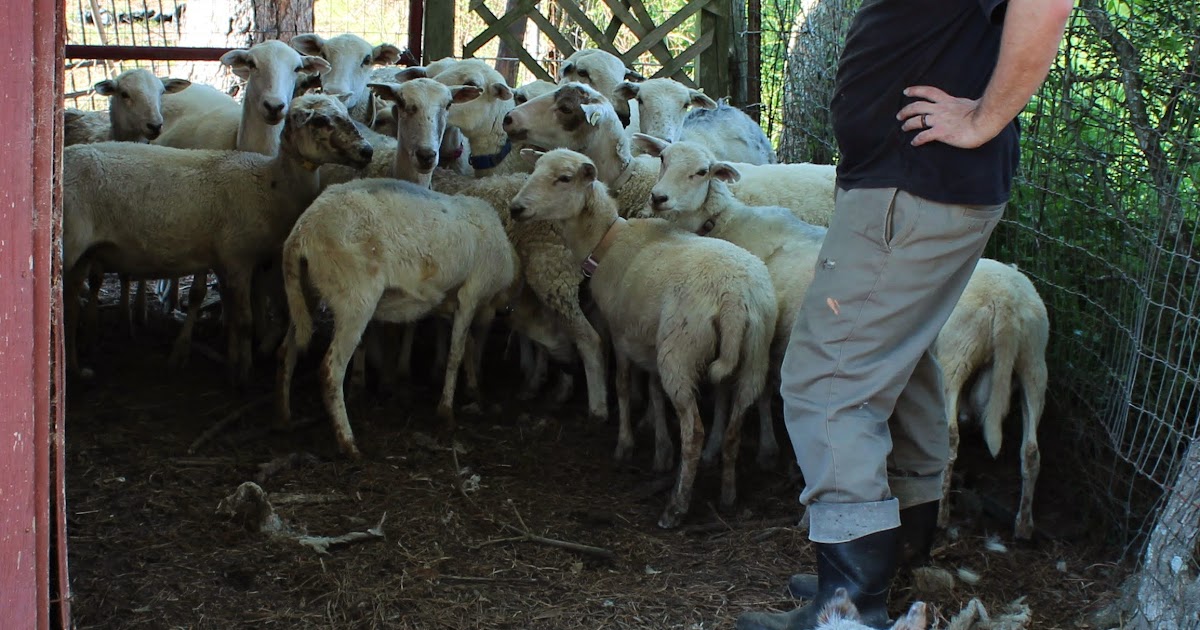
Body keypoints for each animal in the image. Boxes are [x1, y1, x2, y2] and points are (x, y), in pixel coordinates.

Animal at [62, 94, 374, 384]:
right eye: (319, 120)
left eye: (346, 113)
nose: (367, 151)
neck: (270, 183)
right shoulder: (238, 259)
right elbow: (245, 321)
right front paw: (244, 374)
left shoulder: (225, 261)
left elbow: (233, 317)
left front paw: (231, 362)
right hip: (70, 247)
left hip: (83, 257)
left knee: (69, 309)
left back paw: (77, 370)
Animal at [276, 177, 518, 458]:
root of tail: (301, 233)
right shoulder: (471, 293)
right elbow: (456, 354)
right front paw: (446, 412)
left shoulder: (450, 302)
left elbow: (466, 344)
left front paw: (473, 389)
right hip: (355, 298)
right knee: (330, 370)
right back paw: (349, 444)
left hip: (305, 293)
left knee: (287, 351)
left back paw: (285, 419)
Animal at [509, 147, 777, 529]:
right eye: (534, 169)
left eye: (564, 178)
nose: (516, 209)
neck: (605, 242)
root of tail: (733, 300)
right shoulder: (646, 336)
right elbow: (653, 391)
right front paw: (660, 452)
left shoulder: (621, 332)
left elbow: (622, 385)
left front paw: (625, 444)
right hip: (754, 355)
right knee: (735, 427)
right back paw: (727, 495)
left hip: (680, 352)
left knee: (694, 432)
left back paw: (676, 507)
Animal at [631, 133, 828, 470]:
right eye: (663, 158)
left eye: (701, 172)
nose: (659, 197)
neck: (722, 222)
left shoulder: (747, 337)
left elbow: (731, 392)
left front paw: (720, 447)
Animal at [933, 258, 1049, 540]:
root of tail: (1007, 302)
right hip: (1034, 364)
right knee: (1031, 450)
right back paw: (1023, 527)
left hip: (955, 356)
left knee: (950, 437)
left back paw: (941, 515)